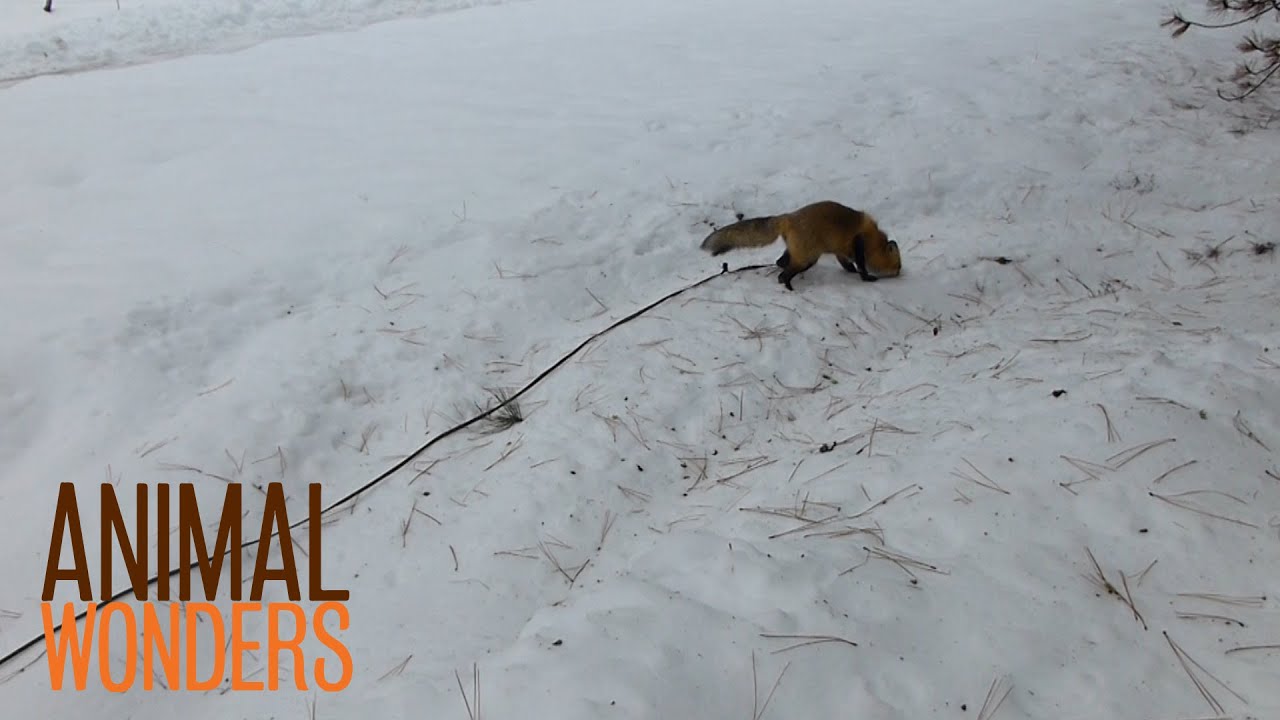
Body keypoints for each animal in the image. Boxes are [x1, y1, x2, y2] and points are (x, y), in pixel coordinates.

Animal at [699, 200, 901, 290]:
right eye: (898, 265)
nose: (900, 274)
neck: (875, 242)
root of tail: (788, 217)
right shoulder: (858, 243)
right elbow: (861, 266)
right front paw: (866, 277)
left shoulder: (841, 249)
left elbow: (846, 262)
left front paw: (851, 271)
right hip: (807, 259)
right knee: (783, 274)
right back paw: (788, 286)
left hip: (800, 253)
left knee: (780, 262)